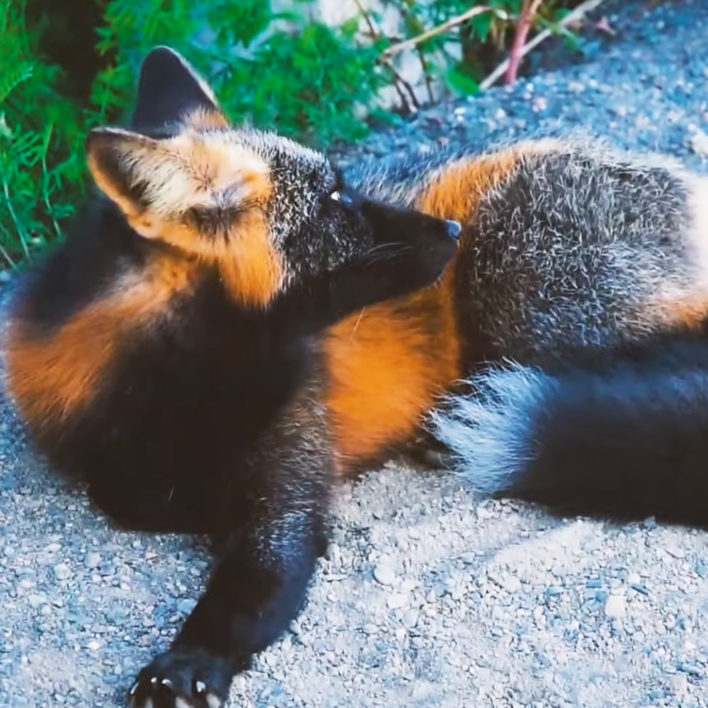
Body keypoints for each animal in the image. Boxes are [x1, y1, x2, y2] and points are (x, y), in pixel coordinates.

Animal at [4, 44, 708, 706]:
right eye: (337, 200)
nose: (449, 228)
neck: (191, 397)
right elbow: (125, 494)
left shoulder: (289, 497)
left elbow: (243, 595)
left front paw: (187, 665)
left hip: (522, 297)